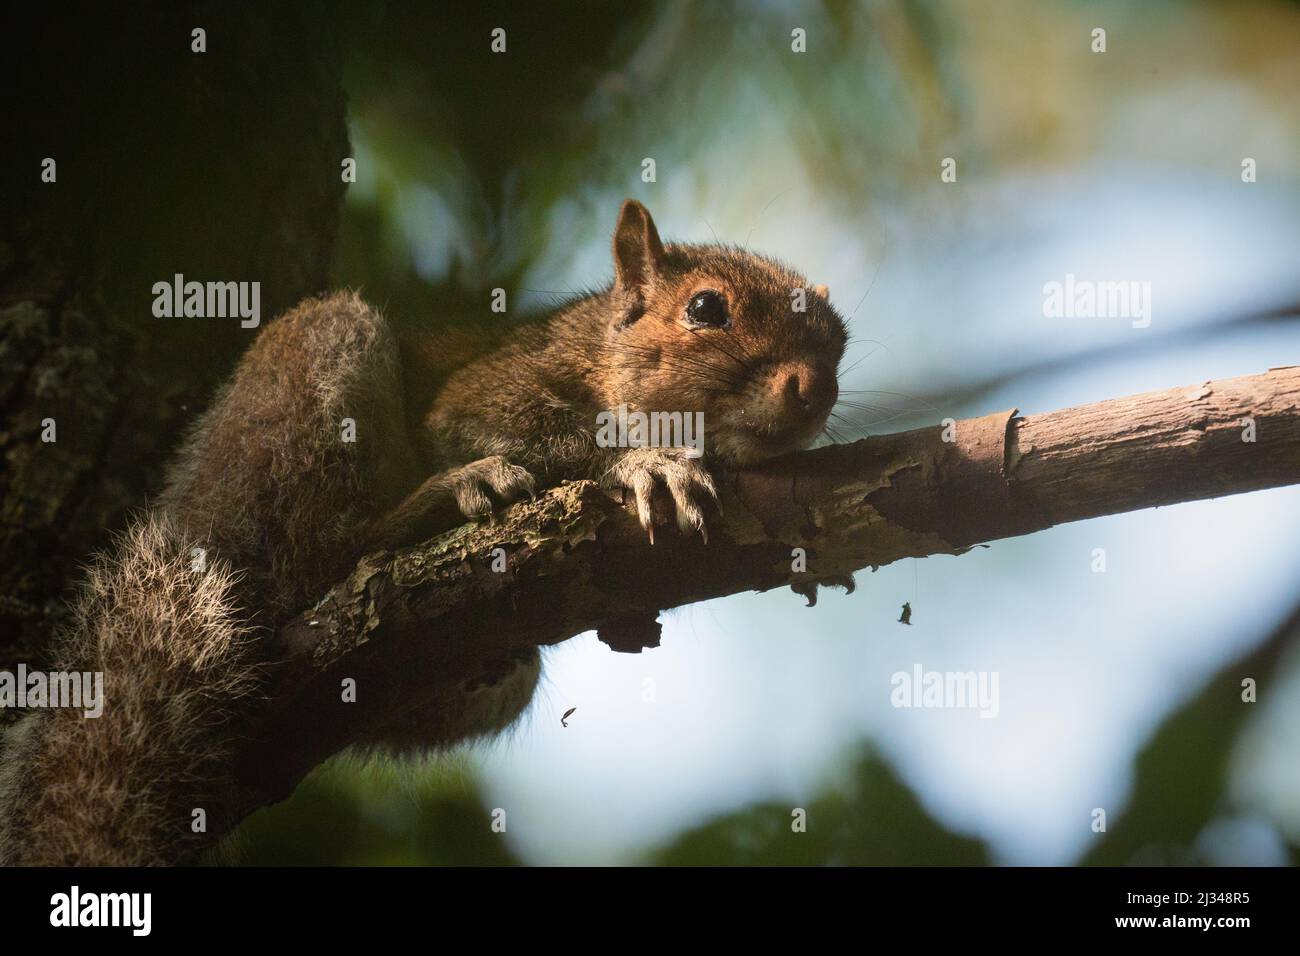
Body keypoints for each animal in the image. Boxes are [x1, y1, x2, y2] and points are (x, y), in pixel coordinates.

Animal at [0, 199, 847, 865]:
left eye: (838, 343)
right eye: (706, 309)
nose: (811, 389)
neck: (595, 349)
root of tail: (196, 515)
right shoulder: (486, 395)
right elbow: (514, 433)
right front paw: (645, 464)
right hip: (310, 387)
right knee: (331, 551)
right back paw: (436, 503)